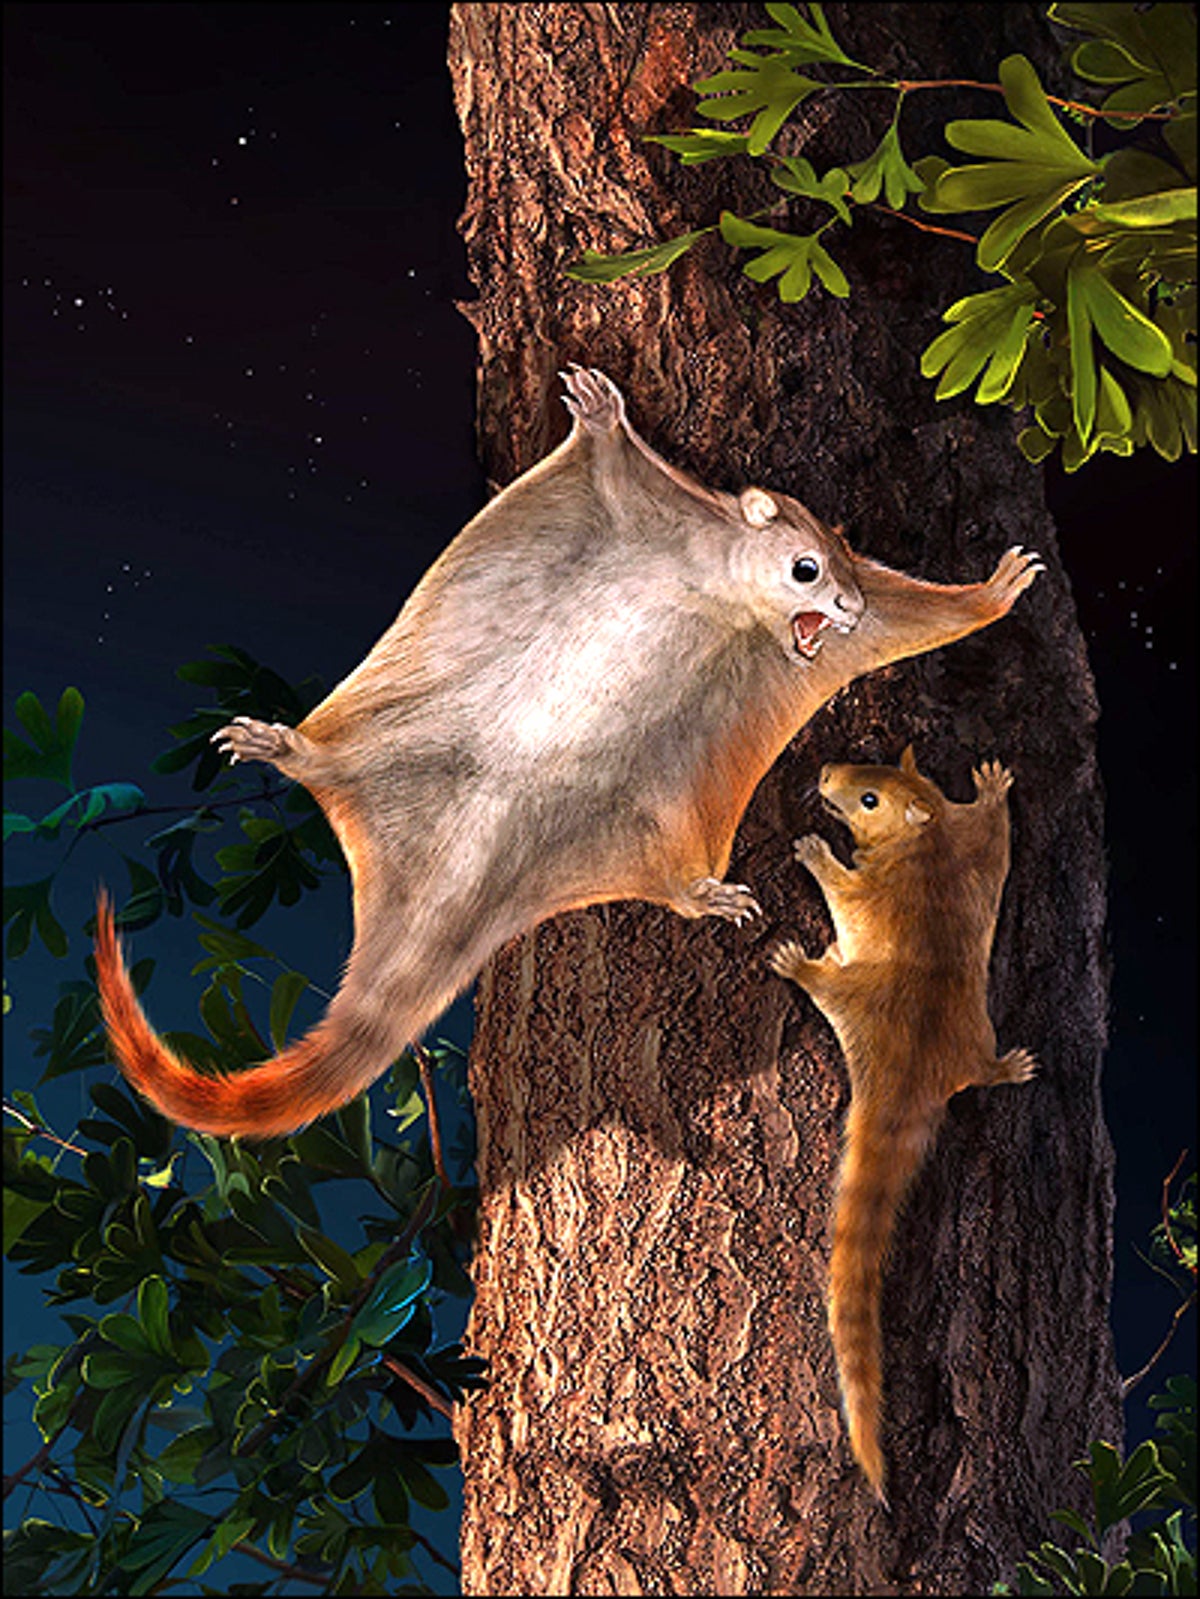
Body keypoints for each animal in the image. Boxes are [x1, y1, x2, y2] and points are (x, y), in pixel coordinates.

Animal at [96, 366, 1042, 1138]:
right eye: (807, 566)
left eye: (849, 560)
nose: (846, 608)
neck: (713, 578)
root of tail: (480, 864)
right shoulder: (642, 507)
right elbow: (614, 463)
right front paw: (600, 413)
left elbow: (921, 613)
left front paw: (991, 591)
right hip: (399, 740)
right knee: (330, 765)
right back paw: (283, 744)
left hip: (647, 810)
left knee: (662, 872)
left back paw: (701, 891)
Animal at [769, 746, 1038, 1502]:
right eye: (868, 767)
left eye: (867, 799)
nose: (825, 774)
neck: (924, 837)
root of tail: (913, 1068)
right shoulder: (974, 851)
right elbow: (998, 834)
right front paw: (994, 785)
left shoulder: (878, 891)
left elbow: (847, 888)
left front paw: (816, 851)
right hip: (977, 1035)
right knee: (979, 1071)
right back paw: (1008, 1068)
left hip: (858, 995)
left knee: (829, 986)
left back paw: (801, 965)